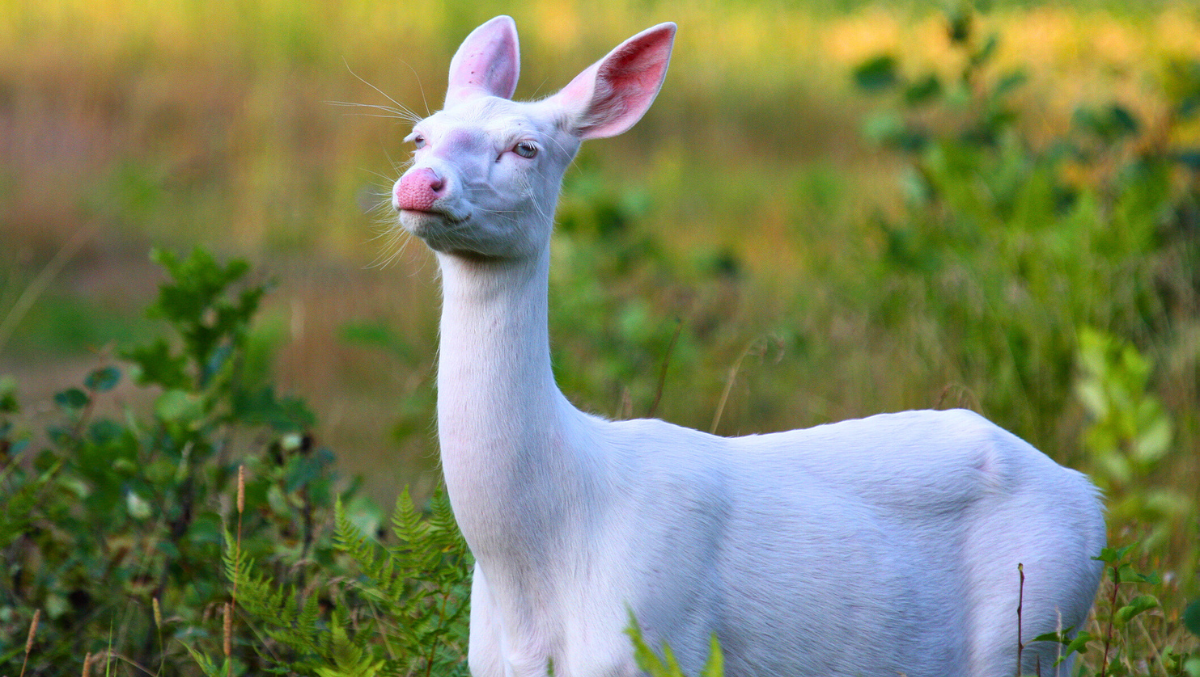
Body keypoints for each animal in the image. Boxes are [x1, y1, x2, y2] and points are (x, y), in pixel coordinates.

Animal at [387, 15, 1106, 677]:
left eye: (525, 147)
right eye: (419, 137)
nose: (422, 183)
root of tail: (1090, 498)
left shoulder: (659, 638)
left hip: (1035, 627)